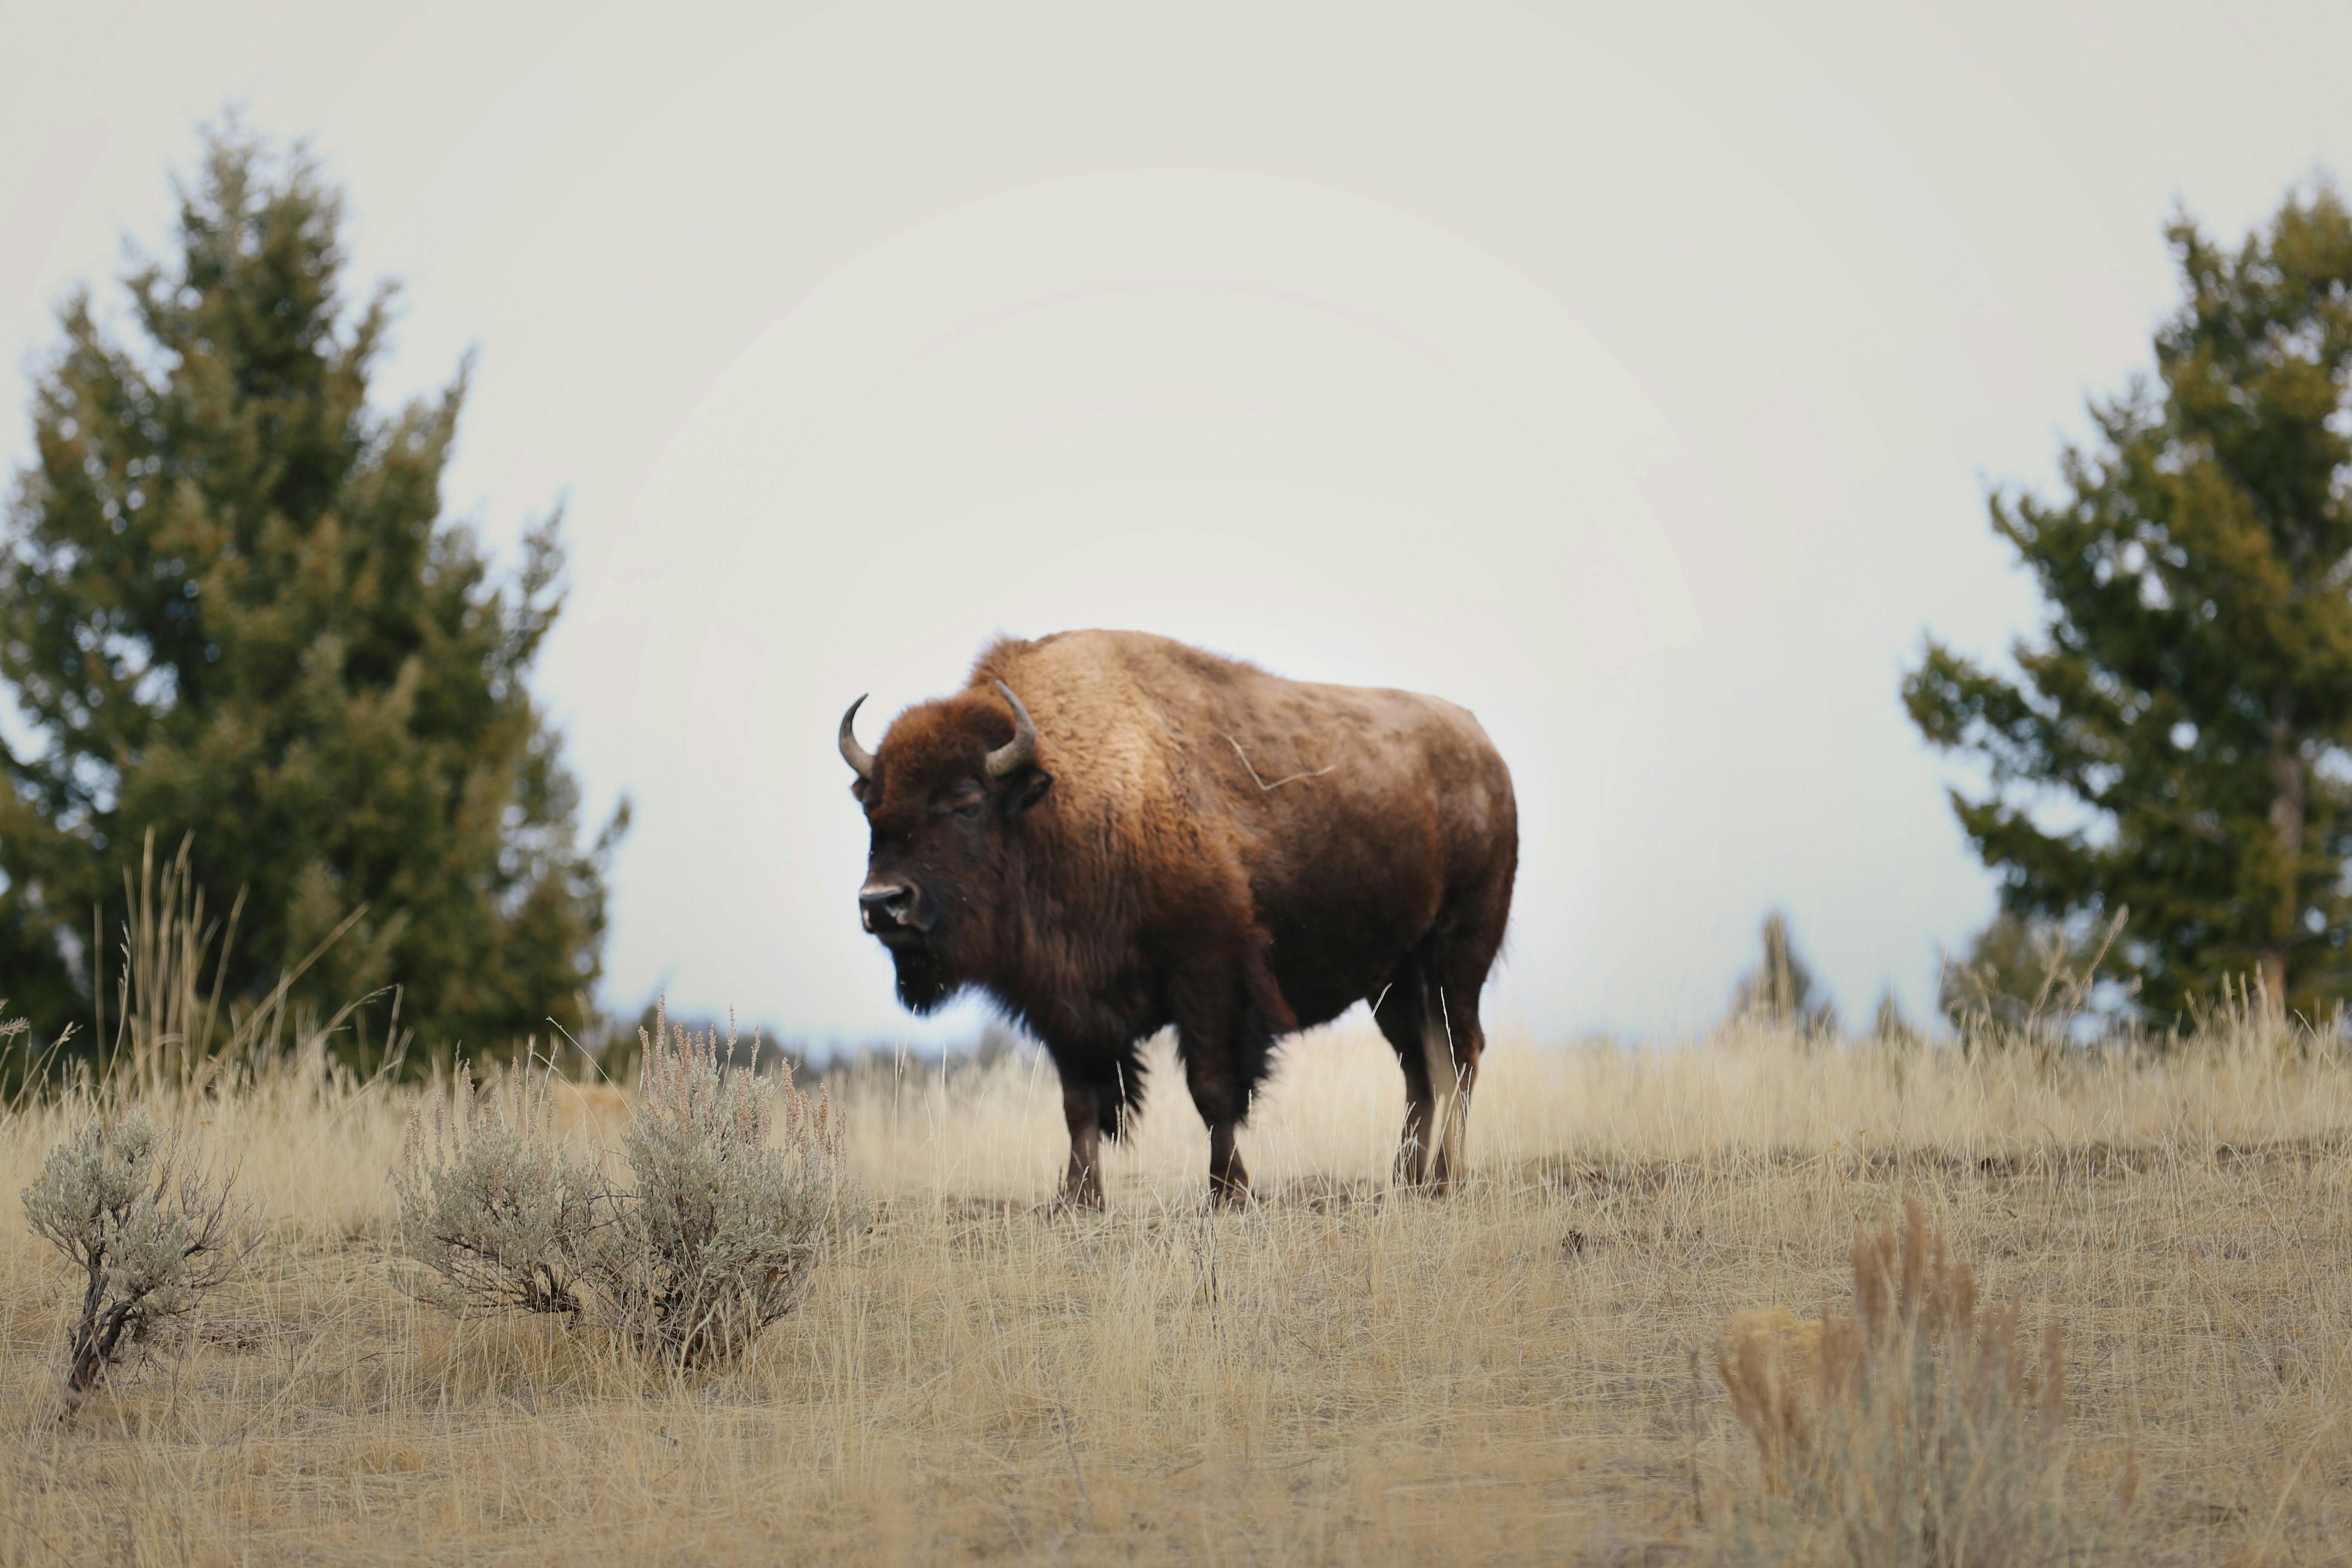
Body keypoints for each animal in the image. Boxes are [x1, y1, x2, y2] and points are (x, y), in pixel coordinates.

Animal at [839, 629, 1517, 1206]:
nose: (882, 903)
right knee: (1419, 1067)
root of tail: (1487, 754)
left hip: (1458, 954)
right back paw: (1407, 1180)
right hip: (1393, 980)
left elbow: (1211, 1090)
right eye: (872, 812)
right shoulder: (1063, 1003)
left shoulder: (1209, 975)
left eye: (965, 803)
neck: (1063, 798)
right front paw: (1077, 1201)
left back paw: (1446, 1178)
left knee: (1461, 1053)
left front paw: (1228, 1193)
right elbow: (1080, 1104)